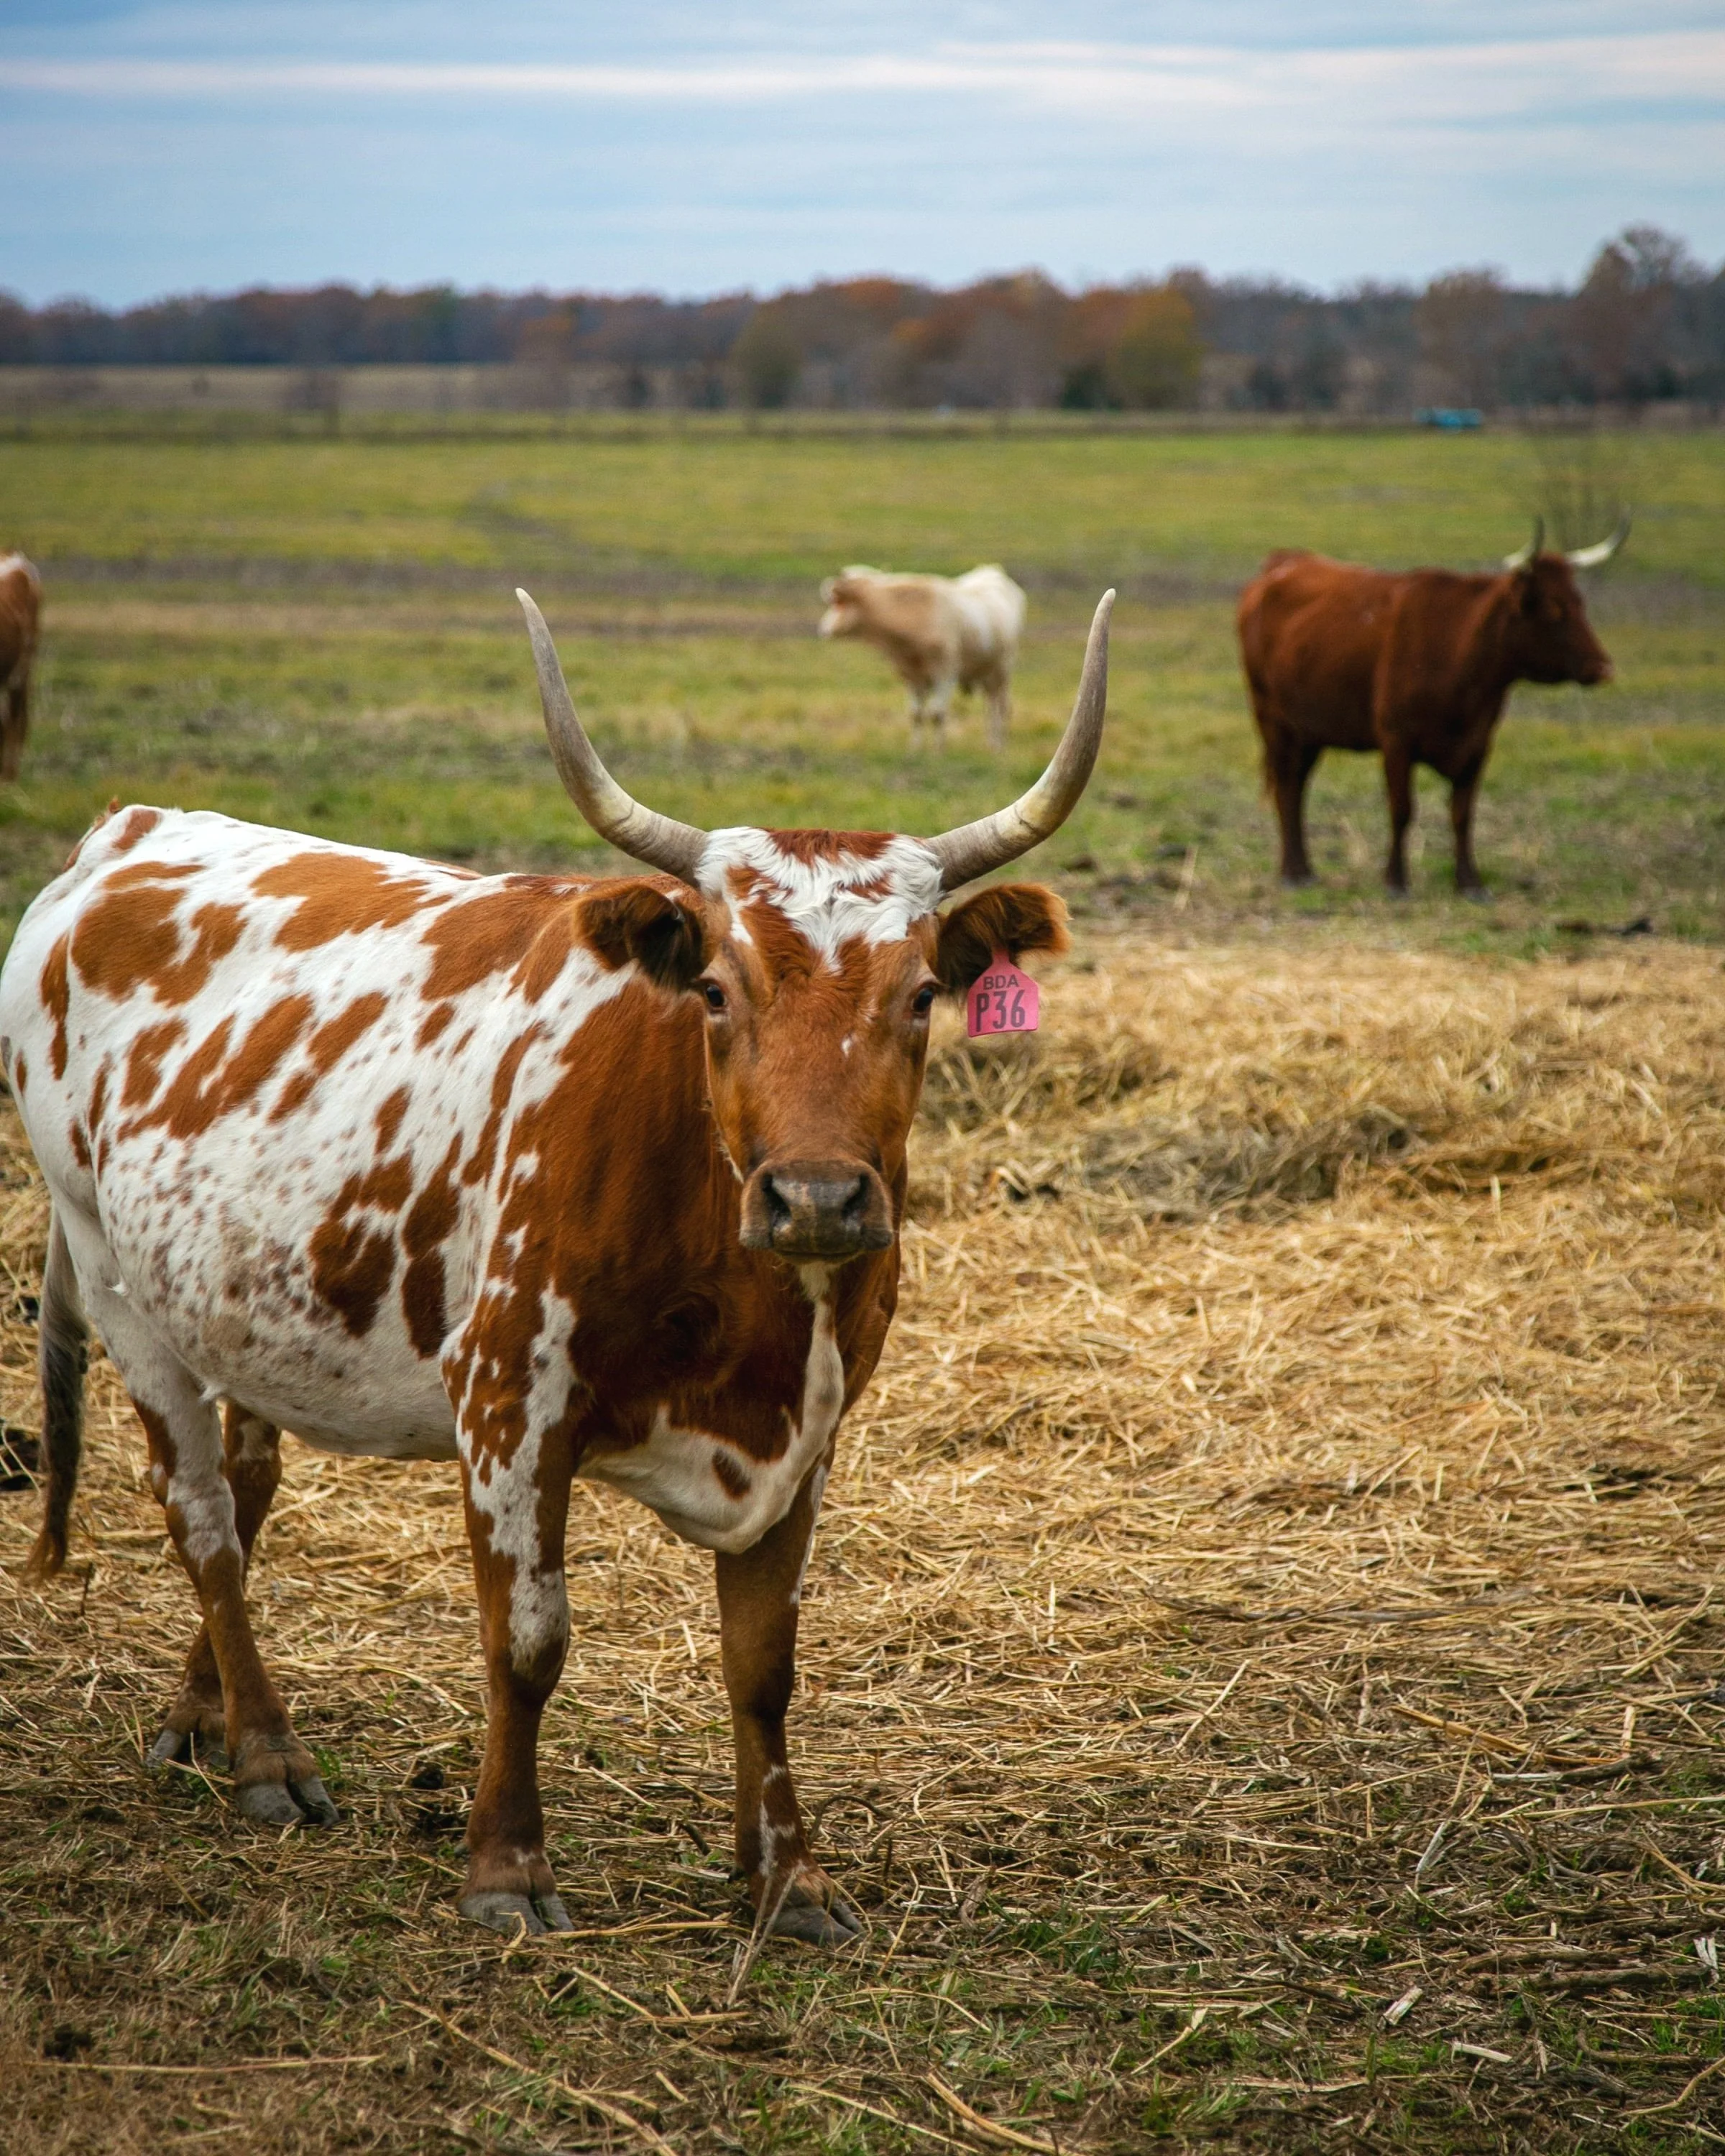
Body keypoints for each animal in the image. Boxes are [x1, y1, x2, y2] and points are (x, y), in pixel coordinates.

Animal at [0, 585, 1114, 1943]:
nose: (817, 1198)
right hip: (111, 1274)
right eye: (714, 988)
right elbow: (527, 1644)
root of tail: (125, 831)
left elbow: (765, 1667)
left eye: (919, 996)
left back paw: (198, 1718)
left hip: (236, 1295)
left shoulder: (813, 1425)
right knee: (201, 1511)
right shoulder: (509, 1406)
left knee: (247, 1478)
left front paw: (788, 1879)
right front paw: (507, 1868)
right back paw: (266, 1753)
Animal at [818, 564, 1027, 748]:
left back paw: (999, 746)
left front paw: (938, 752)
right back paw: (991, 743)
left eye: (836, 603)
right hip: (985, 671)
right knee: (989, 705)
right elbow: (916, 714)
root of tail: (992, 571)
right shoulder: (912, 676)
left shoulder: (945, 673)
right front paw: (915, 750)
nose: (823, 629)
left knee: (1001, 706)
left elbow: (937, 714)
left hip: (1004, 669)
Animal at [1237, 519, 1627, 894]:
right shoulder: (1396, 741)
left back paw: (1305, 869)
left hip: (1310, 732)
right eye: (1553, 609)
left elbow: (1462, 814)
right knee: (1286, 789)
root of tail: (1283, 562)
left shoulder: (1478, 746)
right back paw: (1292, 873)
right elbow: (1402, 809)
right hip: (1273, 721)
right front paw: (1396, 880)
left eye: (1580, 603)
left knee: (1298, 789)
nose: (1603, 667)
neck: (1459, 646)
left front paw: (1469, 881)